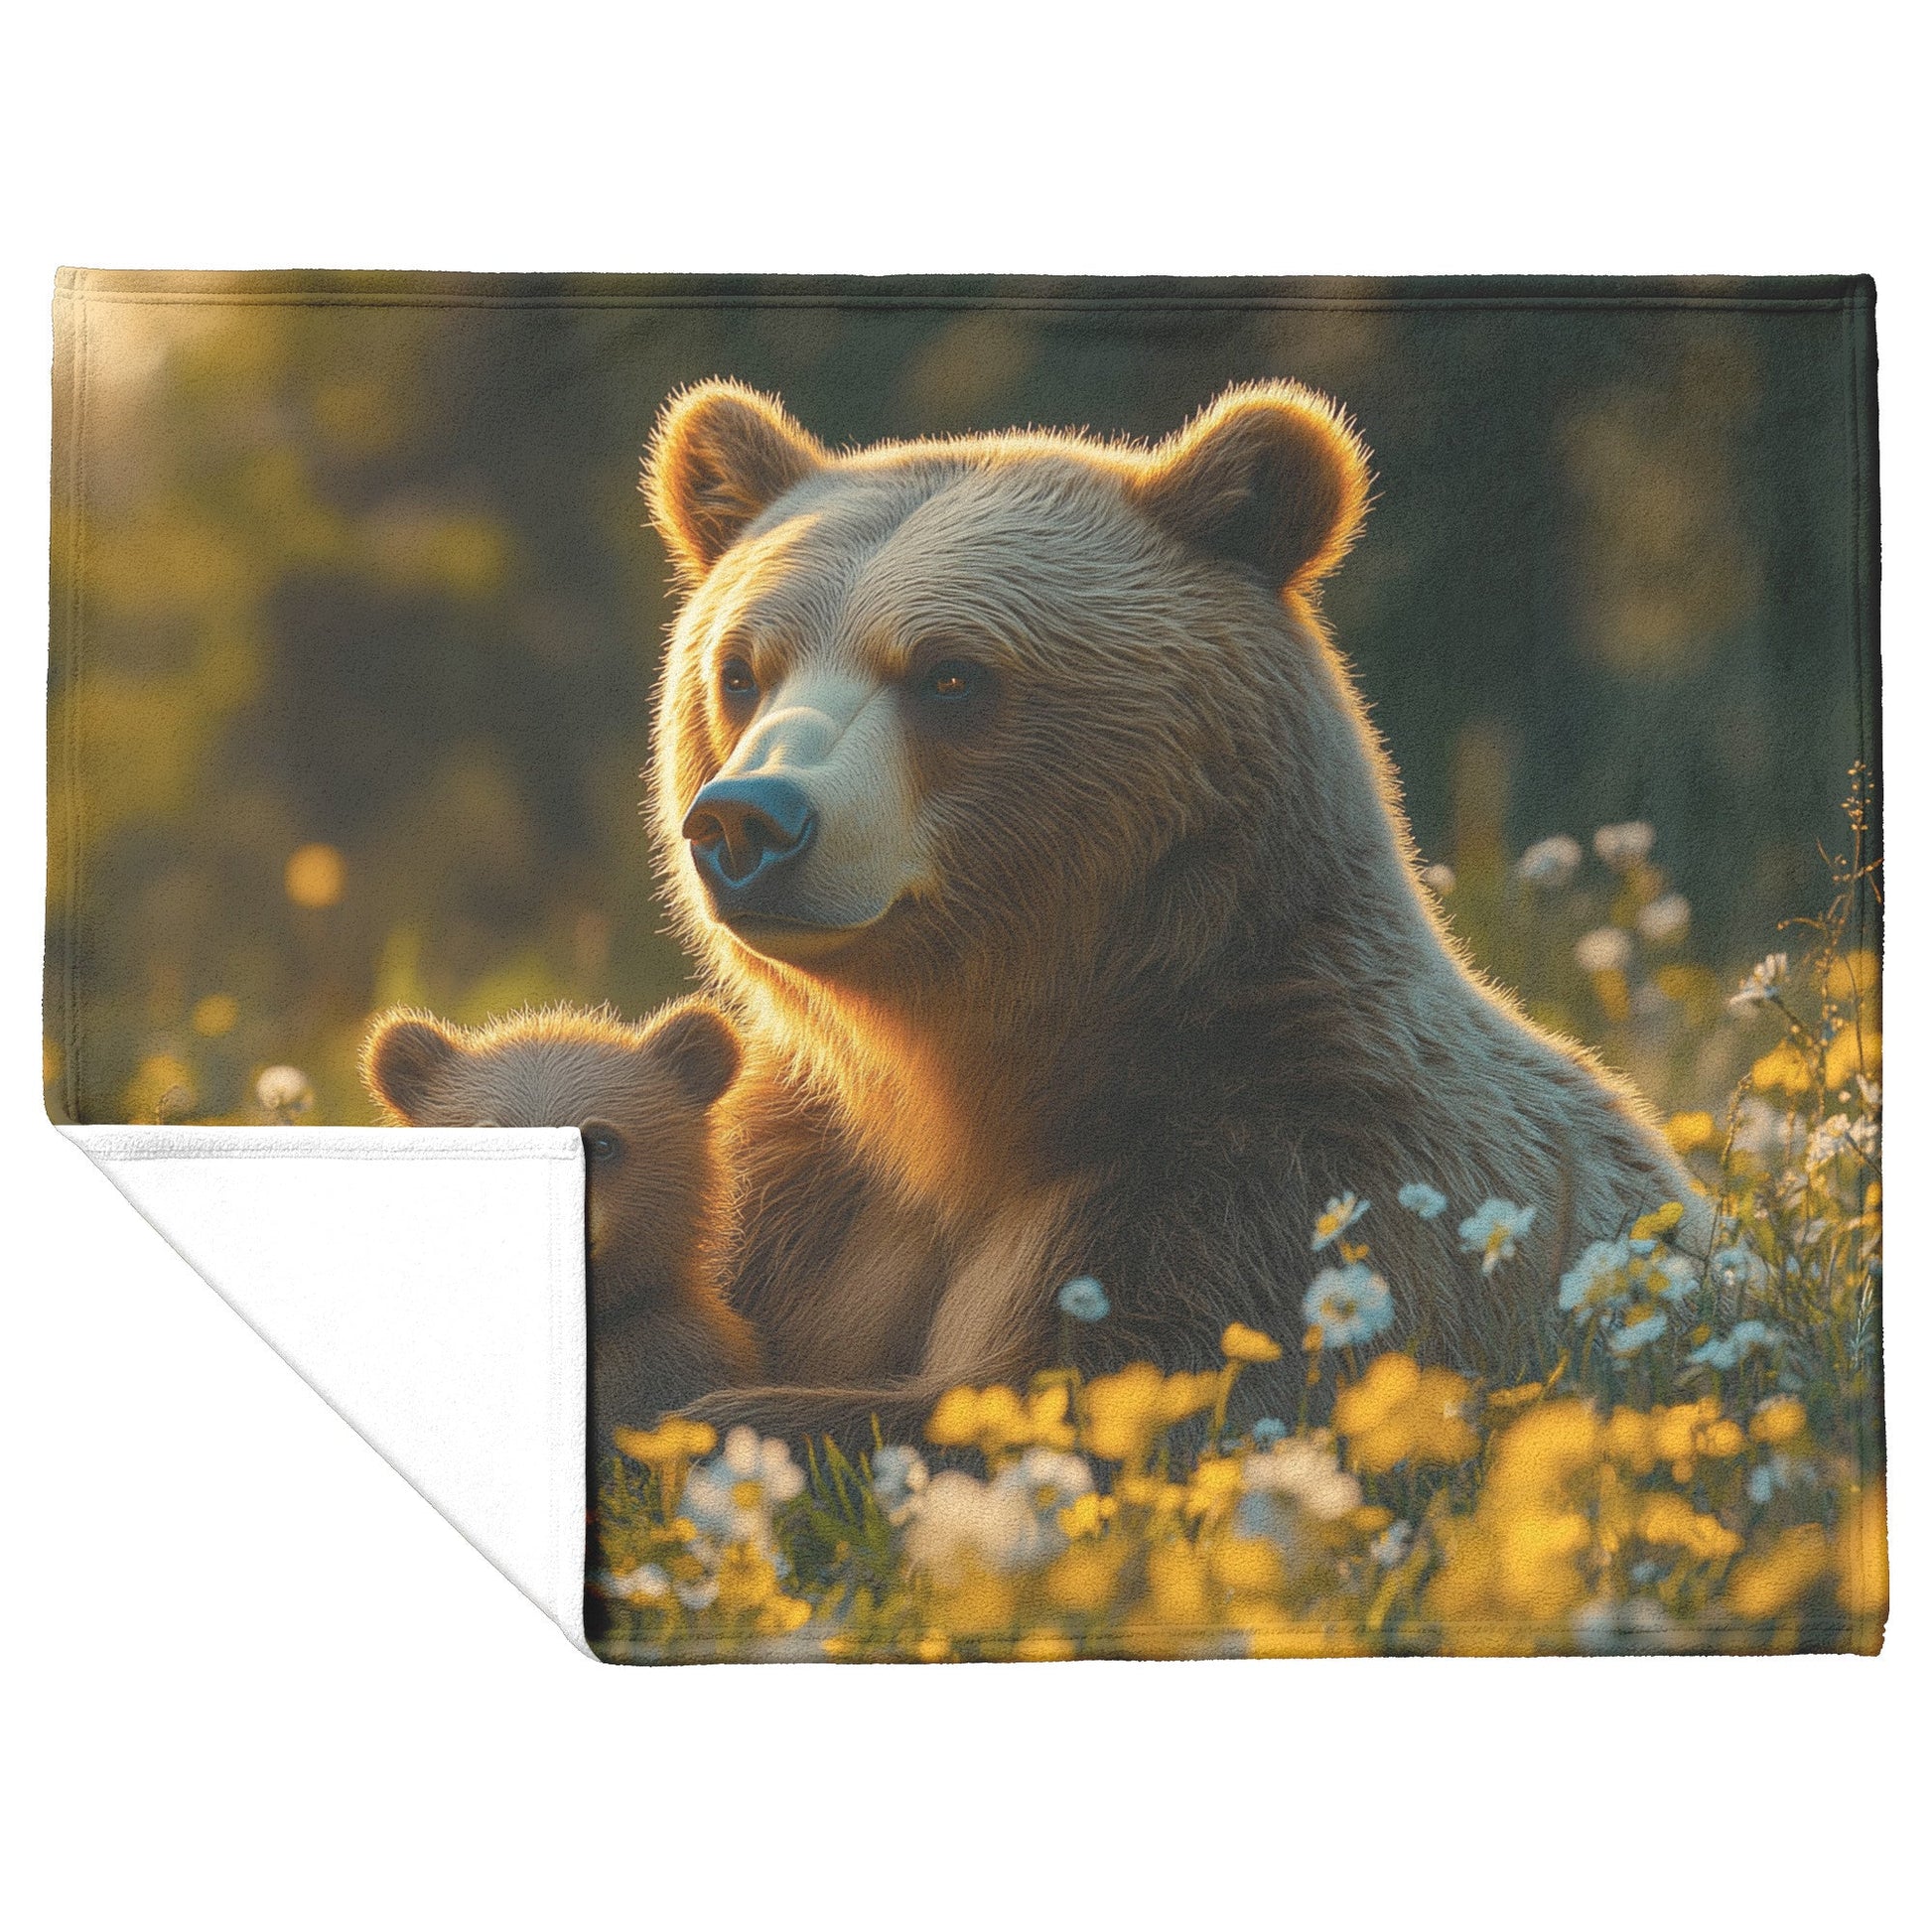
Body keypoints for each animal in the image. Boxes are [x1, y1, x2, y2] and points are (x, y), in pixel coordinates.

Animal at [639, 377, 1704, 1445]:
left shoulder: (1286, 1168)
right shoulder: (799, 1180)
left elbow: (1138, 1384)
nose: (748, 820)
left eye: (947, 672)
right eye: (741, 670)